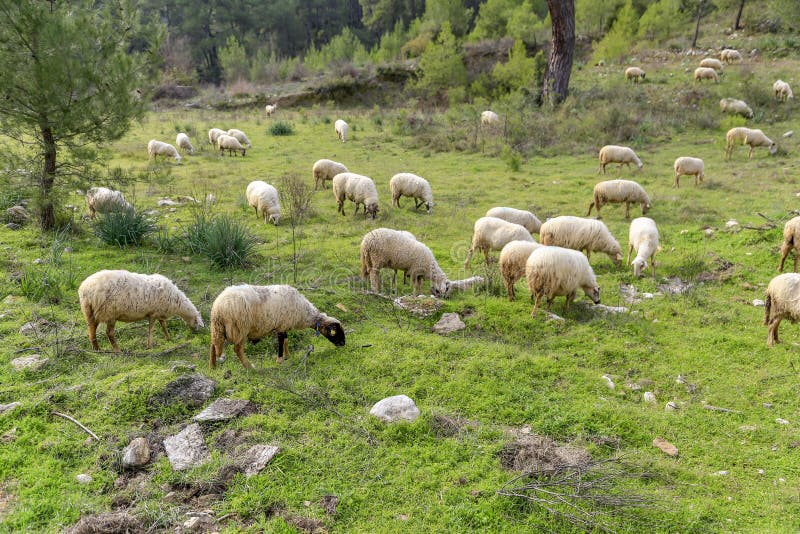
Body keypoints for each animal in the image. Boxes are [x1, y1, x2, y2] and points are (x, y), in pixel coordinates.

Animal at [209, 284, 345, 368]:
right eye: (336, 332)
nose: (343, 345)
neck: (304, 313)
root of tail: (218, 307)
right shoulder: (281, 326)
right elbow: (280, 342)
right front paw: (280, 360)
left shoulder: (283, 324)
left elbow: (286, 340)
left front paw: (287, 356)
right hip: (240, 328)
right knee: (237, 349)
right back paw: (250, 367)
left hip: (217, 328)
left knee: (213, 345)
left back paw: (212, 366)